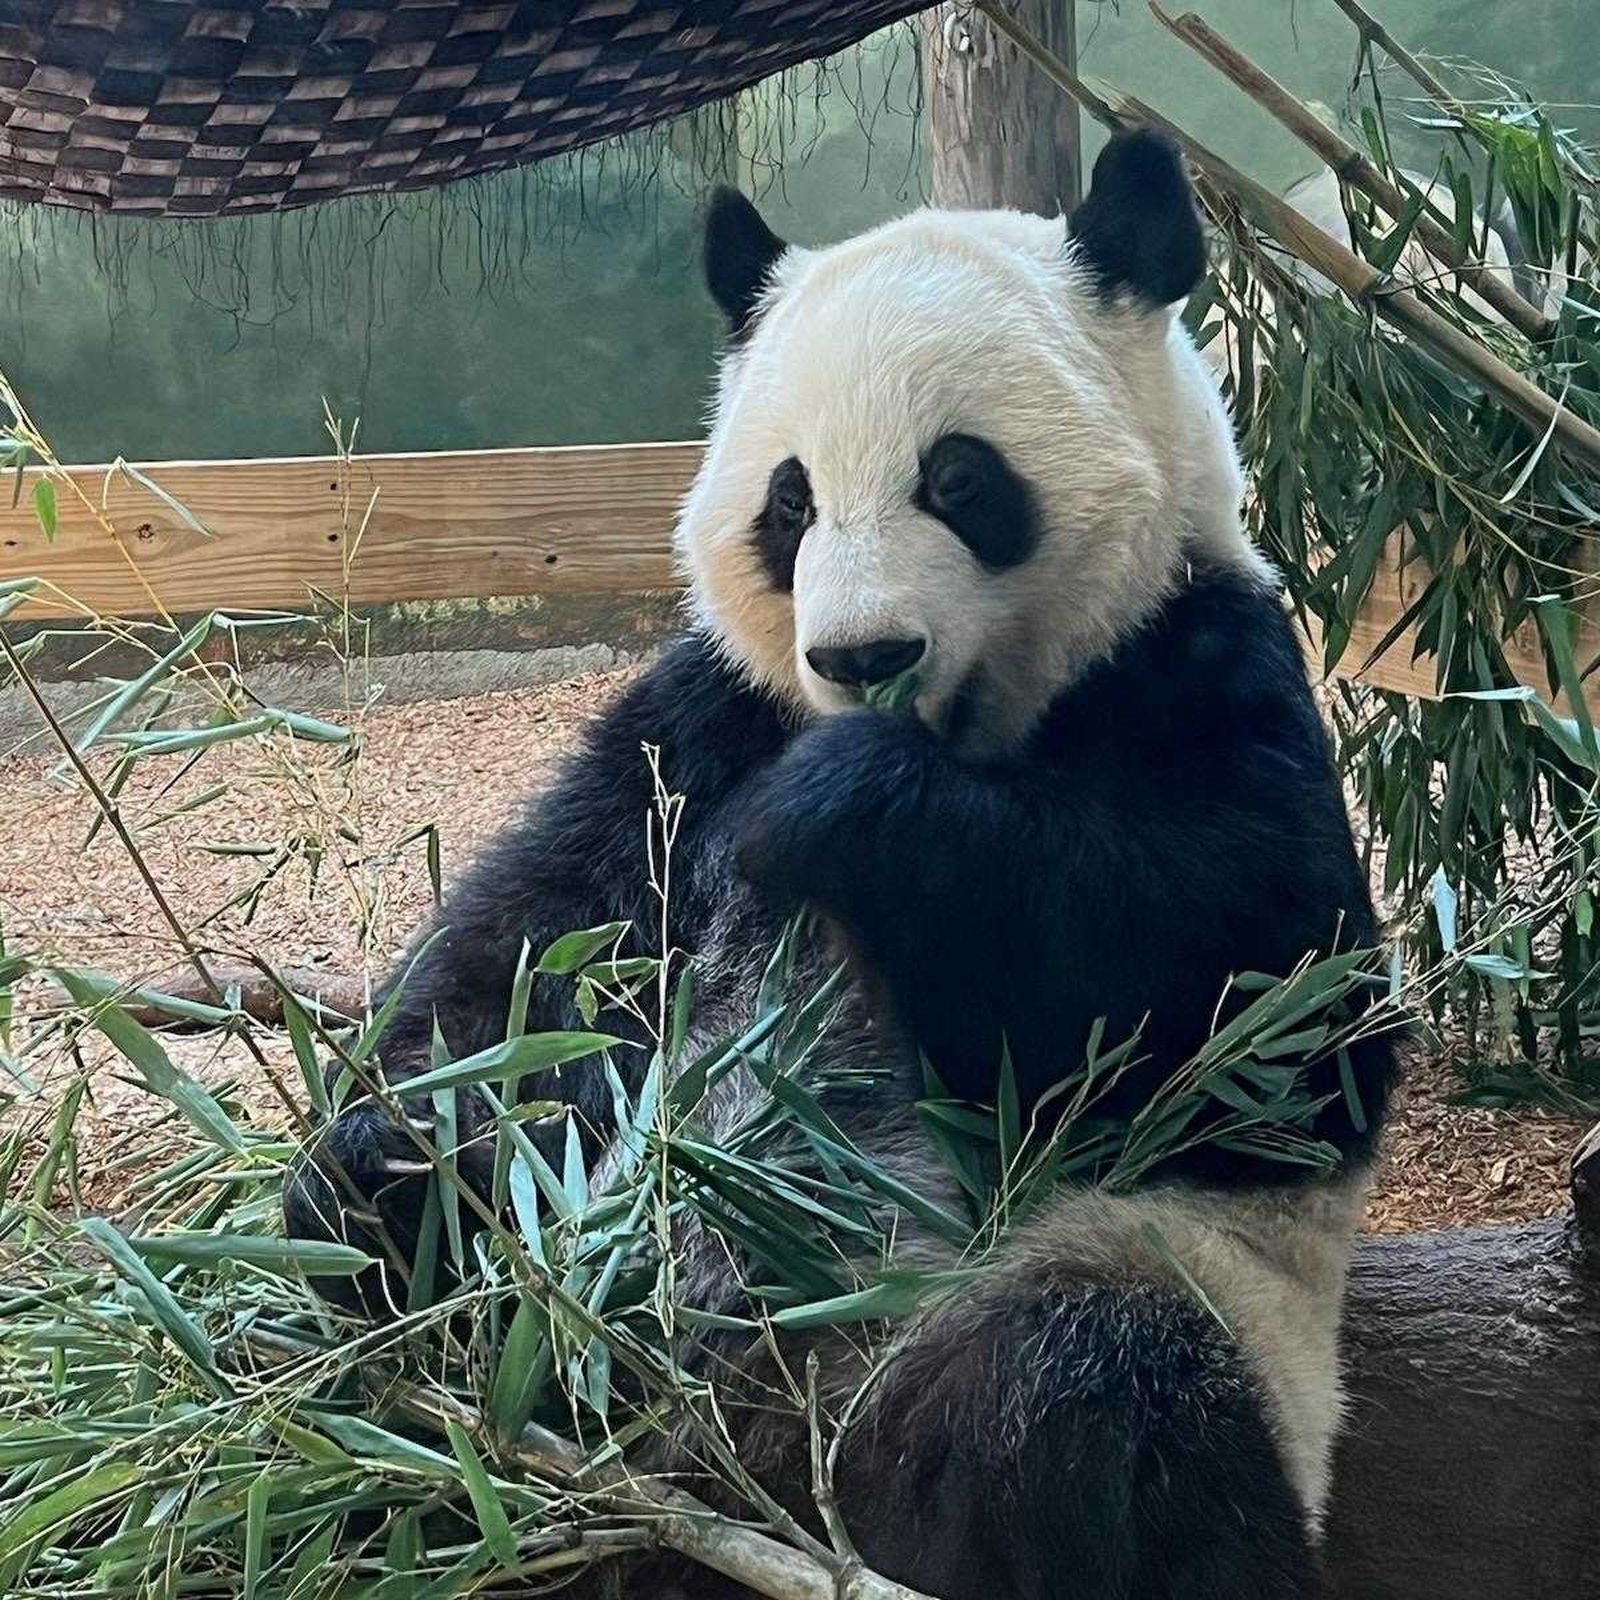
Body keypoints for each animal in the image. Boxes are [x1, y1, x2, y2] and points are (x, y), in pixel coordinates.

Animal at [286, 129, 1394, 1600]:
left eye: (961, 480)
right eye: (790, 501)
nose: (864, 658)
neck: (970, 727)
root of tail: (715, 1469)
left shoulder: (1202, 662)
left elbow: (1267, 1017)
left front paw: (838, 808)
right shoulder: (700, 723)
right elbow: (531, 951)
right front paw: (387, 1147)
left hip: (1109, 1290)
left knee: (1099, 1411)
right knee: (377, 1399)